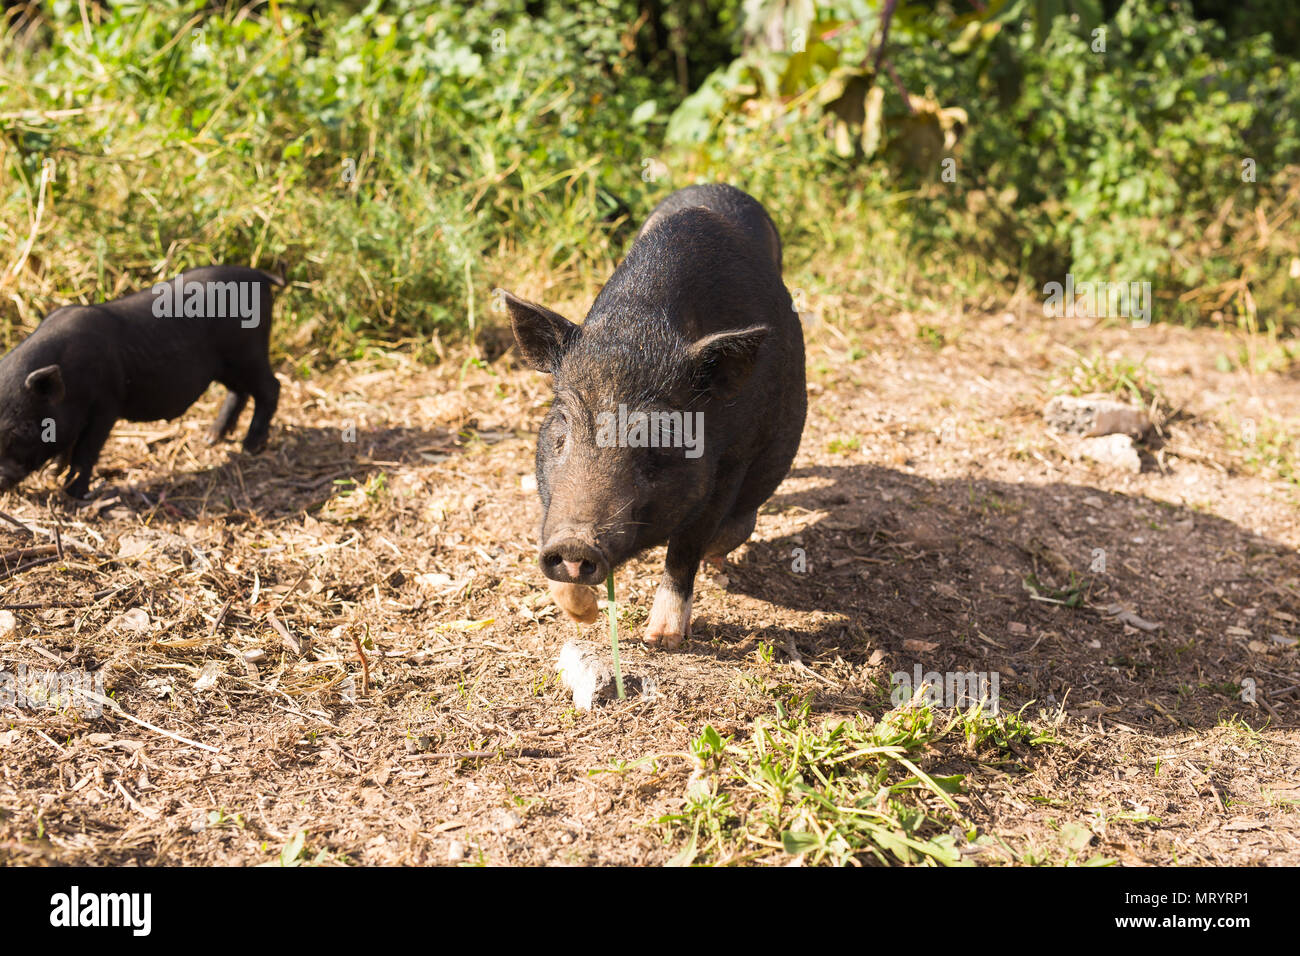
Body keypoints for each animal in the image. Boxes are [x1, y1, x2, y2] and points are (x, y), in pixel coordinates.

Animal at [0, 266, 283, 499]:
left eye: (22, 430)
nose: (1, 480)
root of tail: (259, 275)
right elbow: (68, 445)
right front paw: (53, 473)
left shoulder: (107, 404)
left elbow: (86, 450)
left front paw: (72, 494)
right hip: (228, 366)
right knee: (240, 392)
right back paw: (211, 438)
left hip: (250, 352)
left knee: (271, 387)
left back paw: (249, 446)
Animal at [503, 183, 806, 649]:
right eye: (563, 430)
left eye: (658, 437)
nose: (575, 544)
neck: (640, 328)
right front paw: (585, 617)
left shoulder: (731, 461)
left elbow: (686, 548)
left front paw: (660, 639)